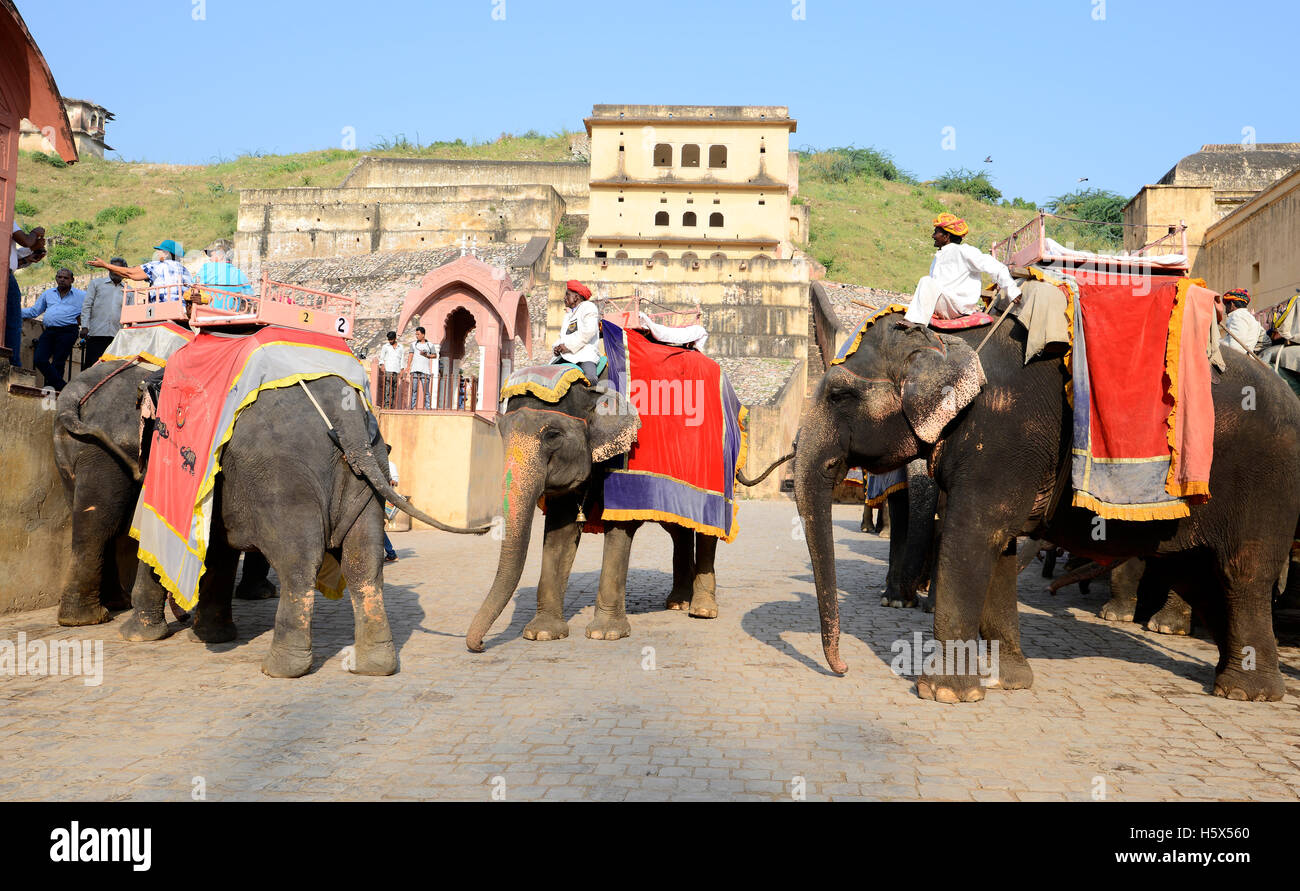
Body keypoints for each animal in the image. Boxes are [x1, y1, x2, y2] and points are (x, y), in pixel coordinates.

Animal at [53, 358, 275, 628]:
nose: (183, 615)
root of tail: (71, 396)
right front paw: (263, 594)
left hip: (74, 449)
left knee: (95, 520)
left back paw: (102, 610)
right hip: (100, 450)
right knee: (102, 523)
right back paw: (94, 616)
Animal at [120, 375, 487, 677]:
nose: (182, 615)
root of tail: (347, 420)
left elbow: (154, 534)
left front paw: (136, 636)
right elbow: (219, 550)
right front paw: (212, 637)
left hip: (282, 480)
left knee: (298, 564)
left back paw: (280, 669)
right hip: (368, 475)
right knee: (363, 562)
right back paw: (374, 667)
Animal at [794, 313, 1300, 702]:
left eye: (839, 395)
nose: (842, 669)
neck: (949, 338)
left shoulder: (1003, 438)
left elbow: (970, 537)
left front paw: (943, 693)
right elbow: (998, 550)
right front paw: (1008, 682)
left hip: (1267, 484)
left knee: (1242, 573)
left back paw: (1246, 692)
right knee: (1199, 573)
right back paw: (1233, 679)